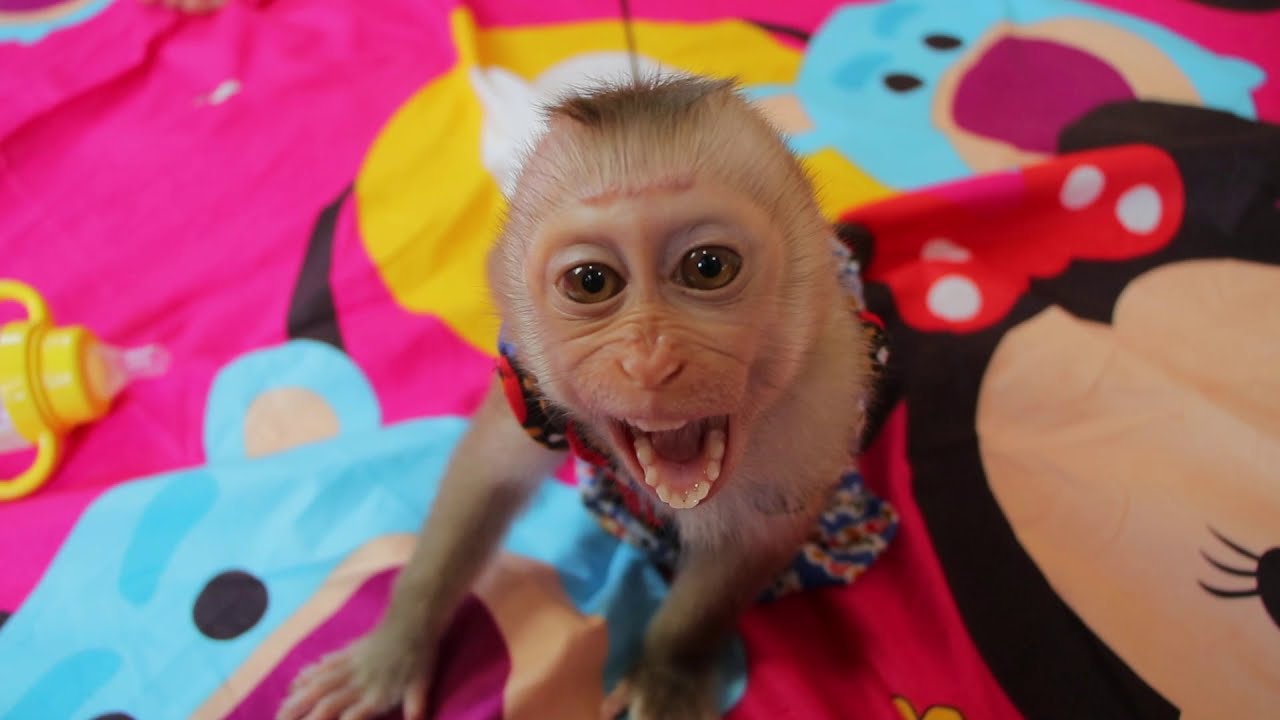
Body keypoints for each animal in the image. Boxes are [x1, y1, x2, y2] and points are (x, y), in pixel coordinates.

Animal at [276, 74, 888, 720]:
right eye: (591, 282)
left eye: (708, 267)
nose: (649, 360)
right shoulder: (527, 377)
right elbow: (486, 476)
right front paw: (393, 650)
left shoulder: (823, 401)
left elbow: (750, 546)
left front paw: (669, 670)